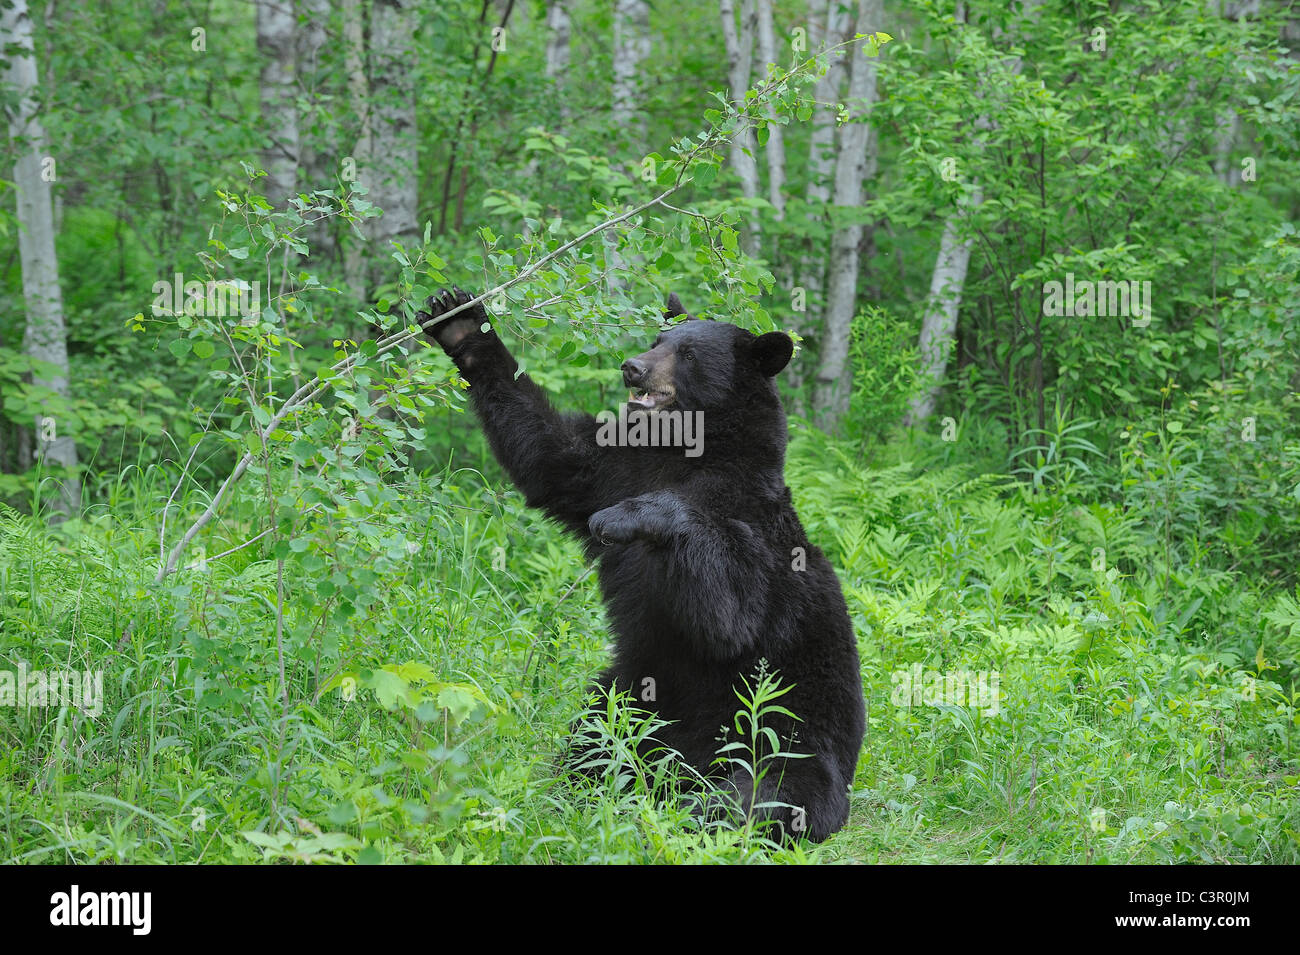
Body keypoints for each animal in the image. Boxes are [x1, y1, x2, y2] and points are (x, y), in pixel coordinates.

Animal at [418, 286, 865, 843]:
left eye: (688, 354)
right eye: (659, 340)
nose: (633, 367)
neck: (683, 452)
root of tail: (681, 769)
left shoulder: (750, 525)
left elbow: (730, 617)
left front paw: (628, 518)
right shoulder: (614, 467)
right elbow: (551, 455)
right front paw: (458, 319)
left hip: (787, 738)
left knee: (772, 791)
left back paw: (696, 810)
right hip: (632, 694)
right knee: (595, 738)